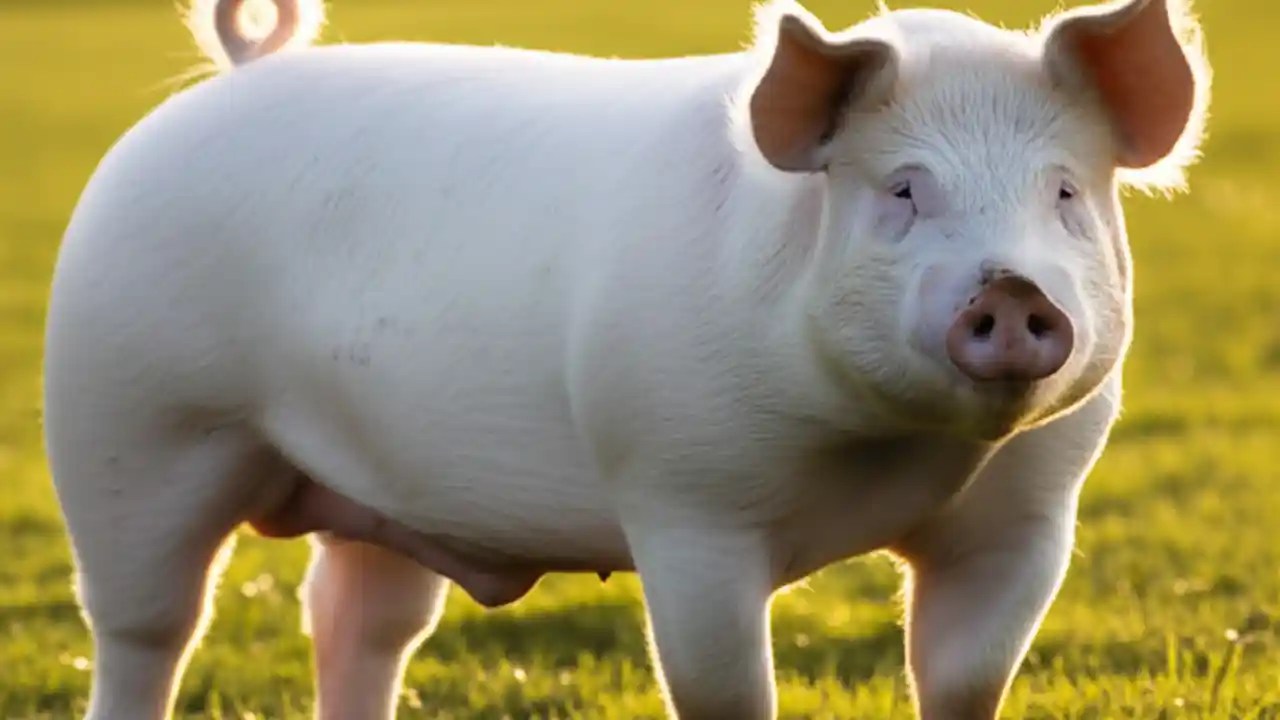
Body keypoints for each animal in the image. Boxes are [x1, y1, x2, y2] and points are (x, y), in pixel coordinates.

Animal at [42, 0, 1210, 717]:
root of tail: (242, 73)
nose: (1011, 293)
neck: (895, 457)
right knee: (148, 623)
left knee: (356, 620)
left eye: (1063, 192)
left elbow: (965, 681)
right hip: (131, 422)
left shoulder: (1029, 513)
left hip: (371, 482)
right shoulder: (683, 499)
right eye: (902, 191)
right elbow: (724, 688)